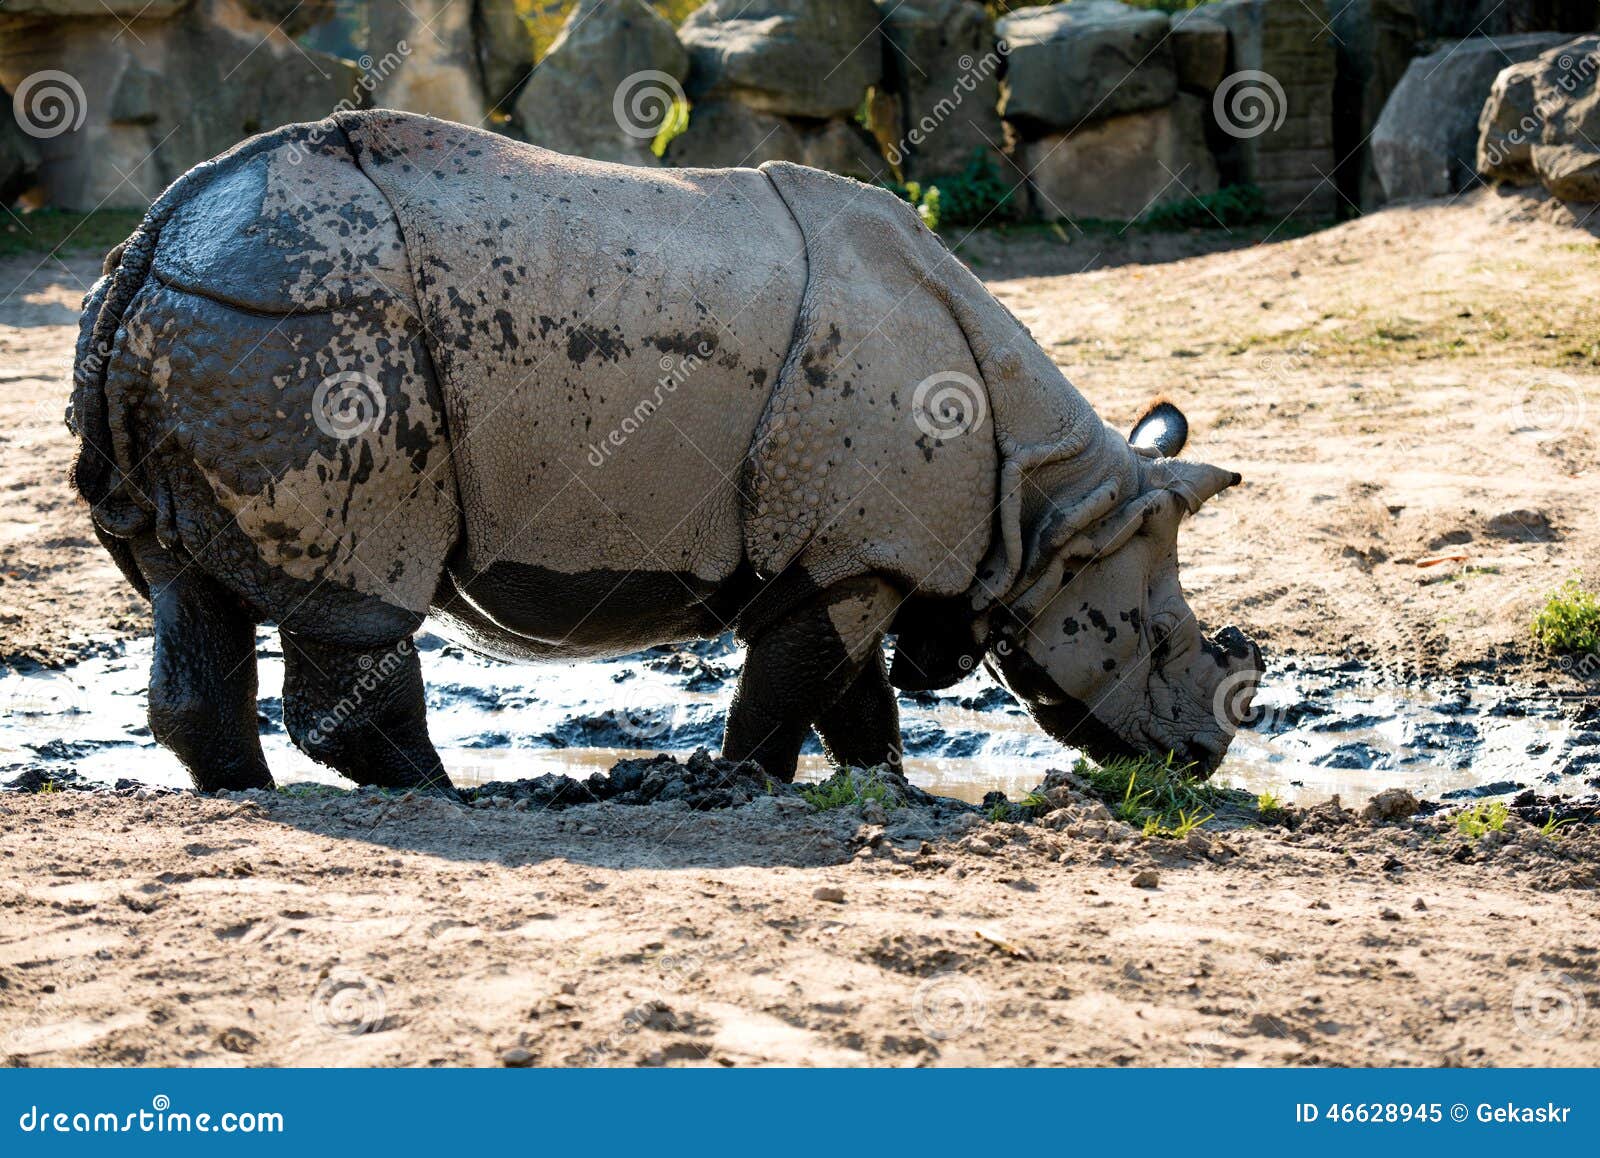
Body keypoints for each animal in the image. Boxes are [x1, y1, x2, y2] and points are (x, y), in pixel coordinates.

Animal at [69, 110, 1261, 794]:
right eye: (1161, 640)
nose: (1200, 761)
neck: (1050, 502)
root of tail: (152, 241)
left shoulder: (848, 552)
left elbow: (847, 696)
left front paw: (876, 791)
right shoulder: (853, 553)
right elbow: (798, 689)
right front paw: (753, 786)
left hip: (220, 323)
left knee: (186, 588)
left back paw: (246, 795)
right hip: (312, 334)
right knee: (362, 596)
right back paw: (438, 796)